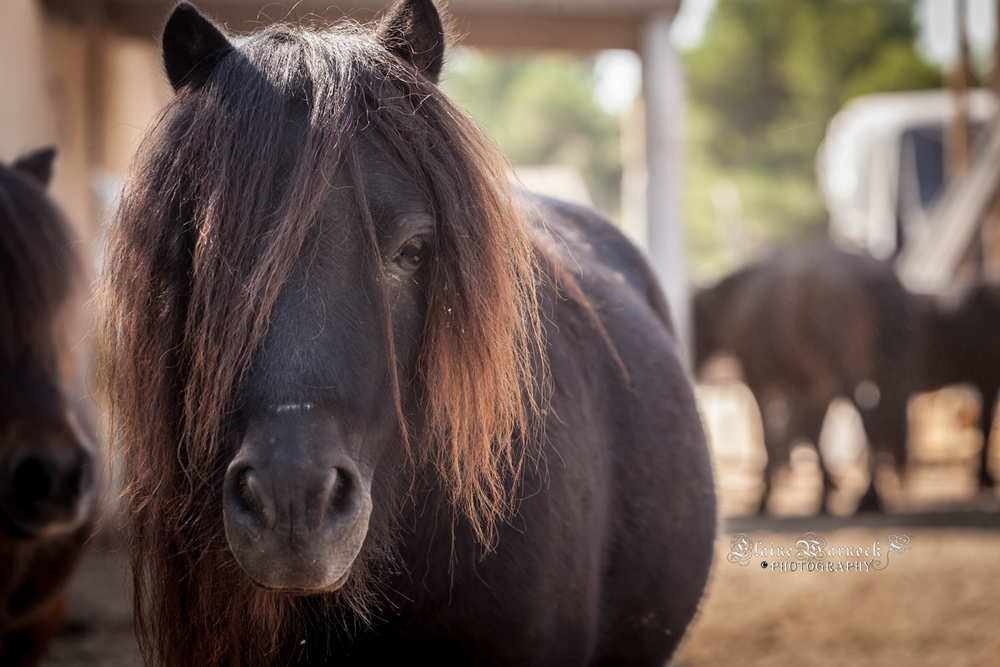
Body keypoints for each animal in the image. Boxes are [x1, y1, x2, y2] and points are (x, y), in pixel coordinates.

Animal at [694, 245, 913, 513]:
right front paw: (825, 495)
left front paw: (765, 498)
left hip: (851, 375)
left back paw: (869, 497)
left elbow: (771, 433)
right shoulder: (814, 387)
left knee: (870, 421)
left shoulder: (761, 380)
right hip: (891, 372)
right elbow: (810, 433)